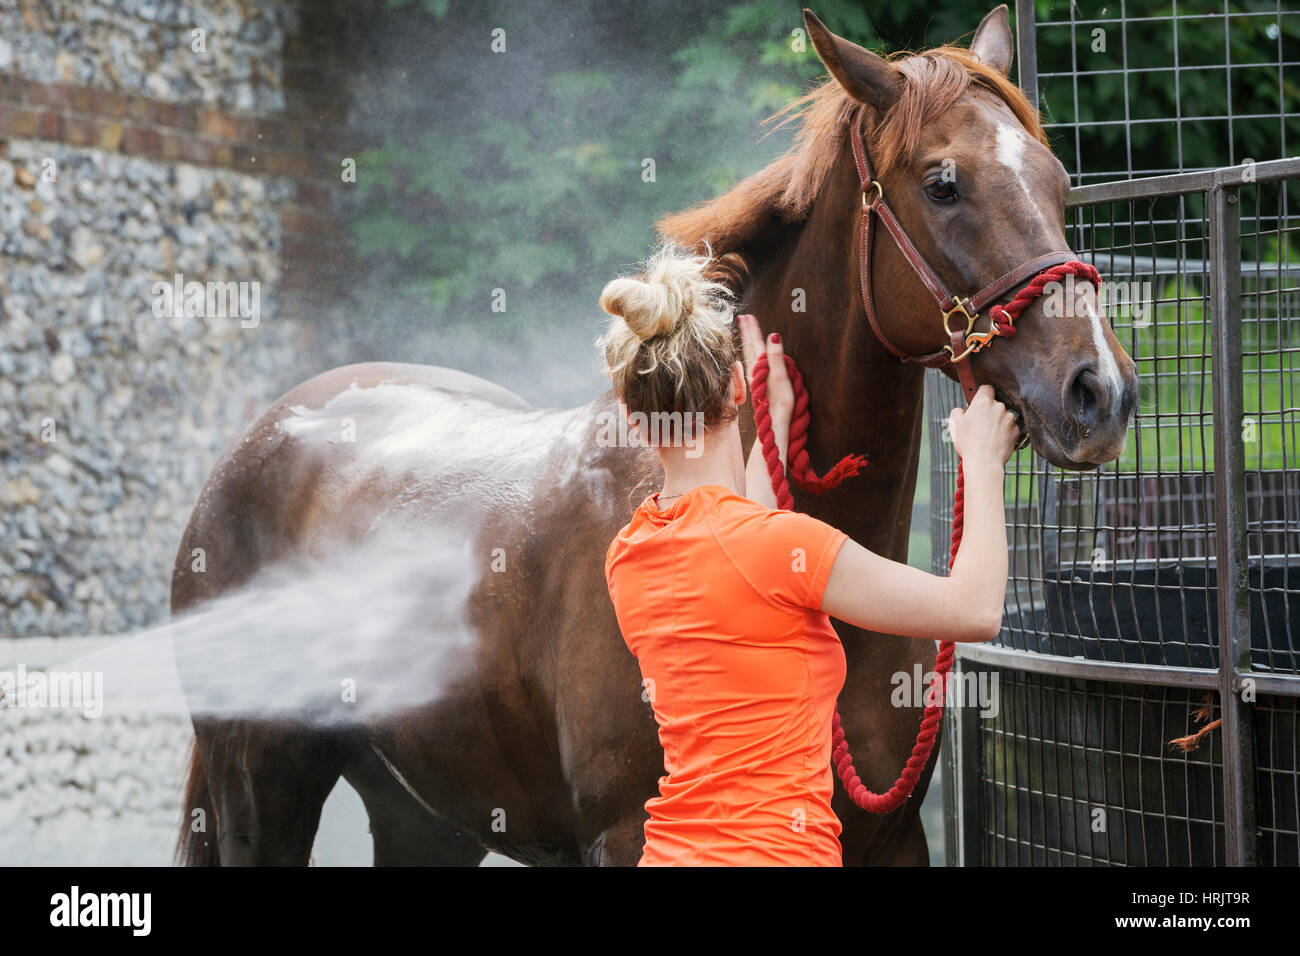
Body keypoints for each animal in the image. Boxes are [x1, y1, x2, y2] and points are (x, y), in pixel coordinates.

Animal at [172, 5, 1137, 866]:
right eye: (943, 184)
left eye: (1057, 183)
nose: (1102, 391)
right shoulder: (628, 837)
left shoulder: (893, 844)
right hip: (261, 789)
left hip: (426, 817)